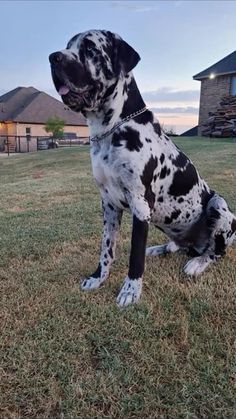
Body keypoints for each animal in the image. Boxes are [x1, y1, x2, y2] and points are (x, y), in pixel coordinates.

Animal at [48, 28, 235, 306]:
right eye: (68, 45)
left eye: (90, 48)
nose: (53, 57)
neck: (113, 129)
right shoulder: (108, 204)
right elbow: (106, 249)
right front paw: (98, 278)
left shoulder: (140, 204)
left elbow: (134, 256)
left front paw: (130, 290)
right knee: (178, 246)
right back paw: (160, 248)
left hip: (219, 206)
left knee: (216, 252)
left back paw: (198, 263)